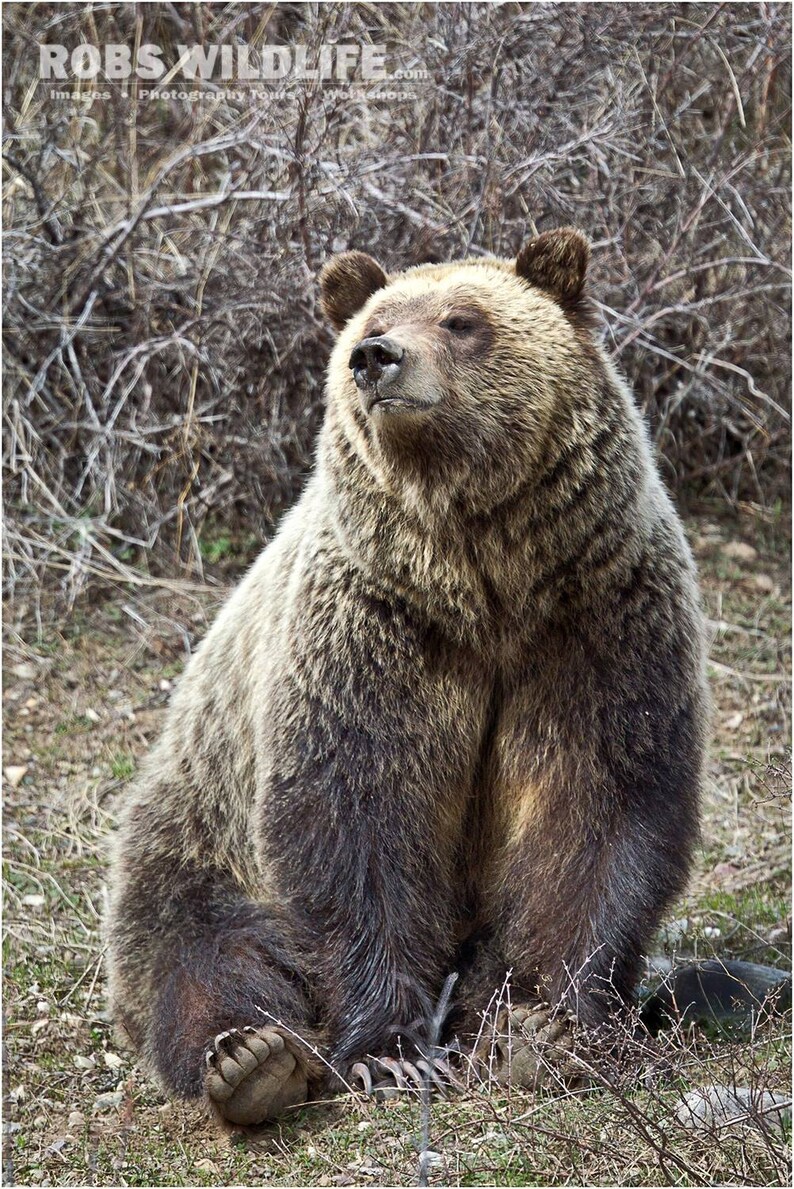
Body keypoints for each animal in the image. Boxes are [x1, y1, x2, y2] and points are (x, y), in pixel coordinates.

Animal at [105, 227, 708, 1128]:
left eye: (462, 319)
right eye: (375, 319)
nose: (375, 357)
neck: (486, 584)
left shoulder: (593, 621)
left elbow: (596, 810)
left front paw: (549, 1027)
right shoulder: (376, 634)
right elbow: (360, 819)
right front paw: (390, 1052)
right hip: (198, 835)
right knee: (204, 954)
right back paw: (252, 1058)